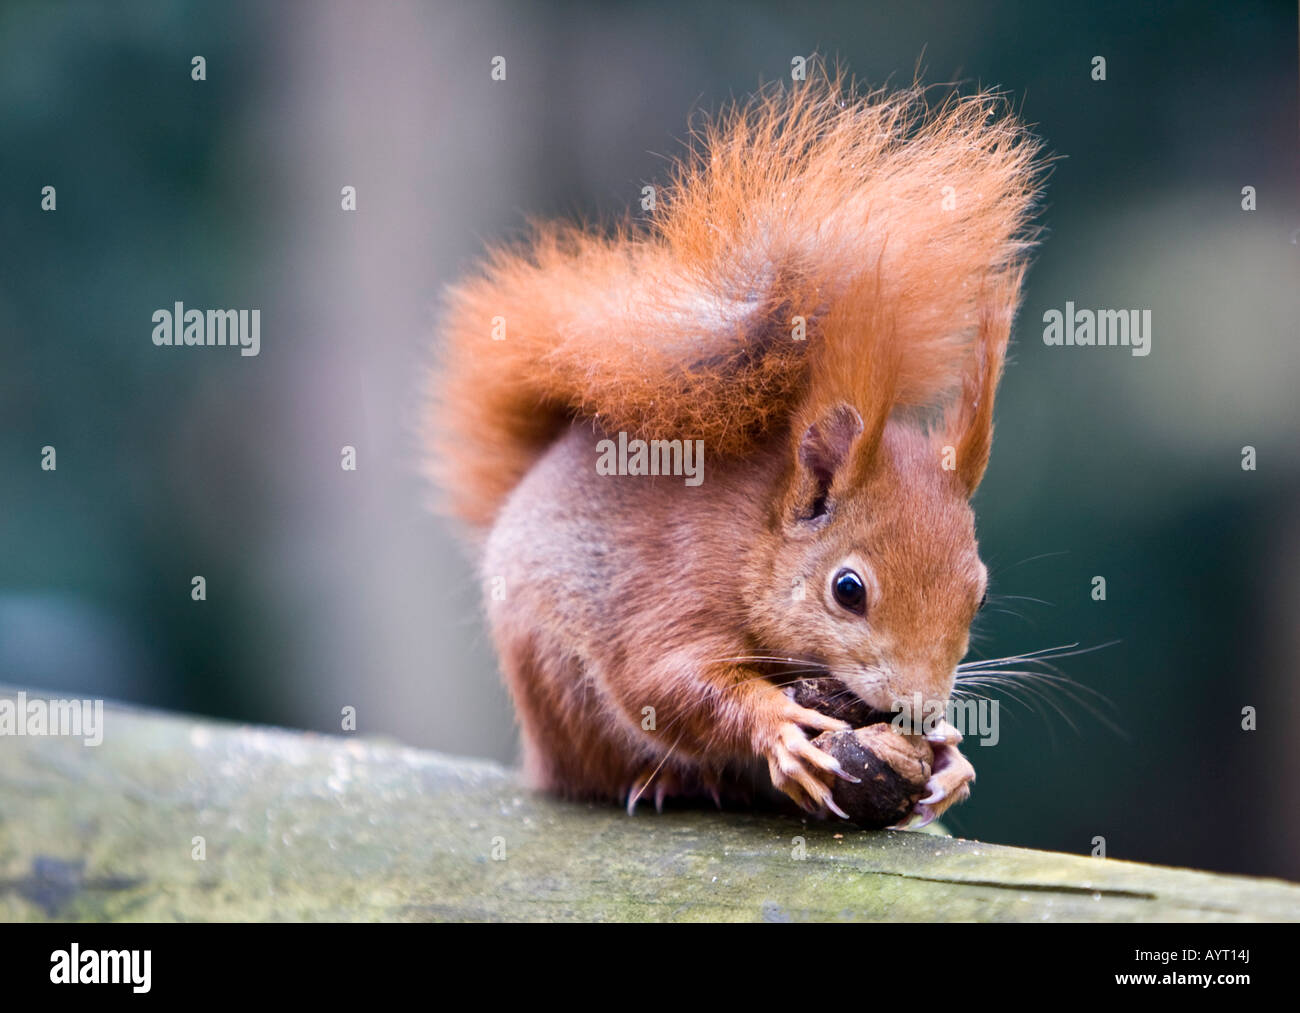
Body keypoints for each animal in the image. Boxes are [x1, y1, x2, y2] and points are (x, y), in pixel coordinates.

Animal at [426, 69, 1043, 827]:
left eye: (979, 596)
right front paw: (781, 729)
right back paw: (665, 782)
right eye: (848, 590)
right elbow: (668, 680)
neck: (755, 540)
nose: (919, 709)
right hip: (553, 681)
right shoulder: (676, 589)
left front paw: (952, 760)